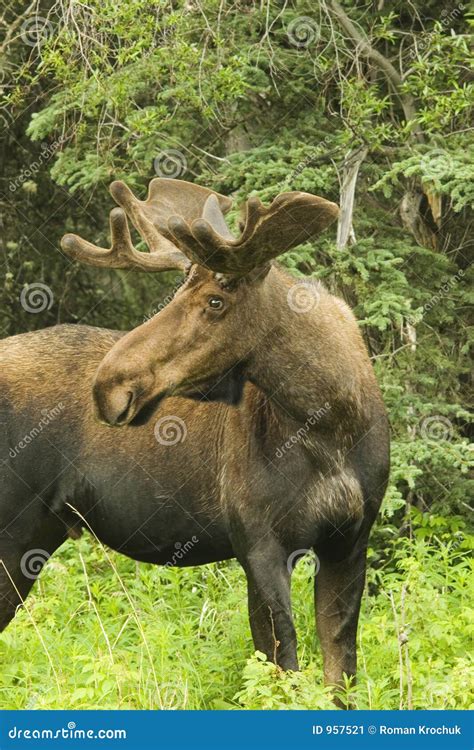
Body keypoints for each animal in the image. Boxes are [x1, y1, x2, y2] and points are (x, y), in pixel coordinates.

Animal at [0, 177, 389, 704]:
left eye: (215, 301)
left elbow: (338, 669)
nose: (108, 386)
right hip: (13, 531)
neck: (332, 426)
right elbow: (281, 664)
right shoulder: (259, 542)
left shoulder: (349, 539)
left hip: (38, 533)